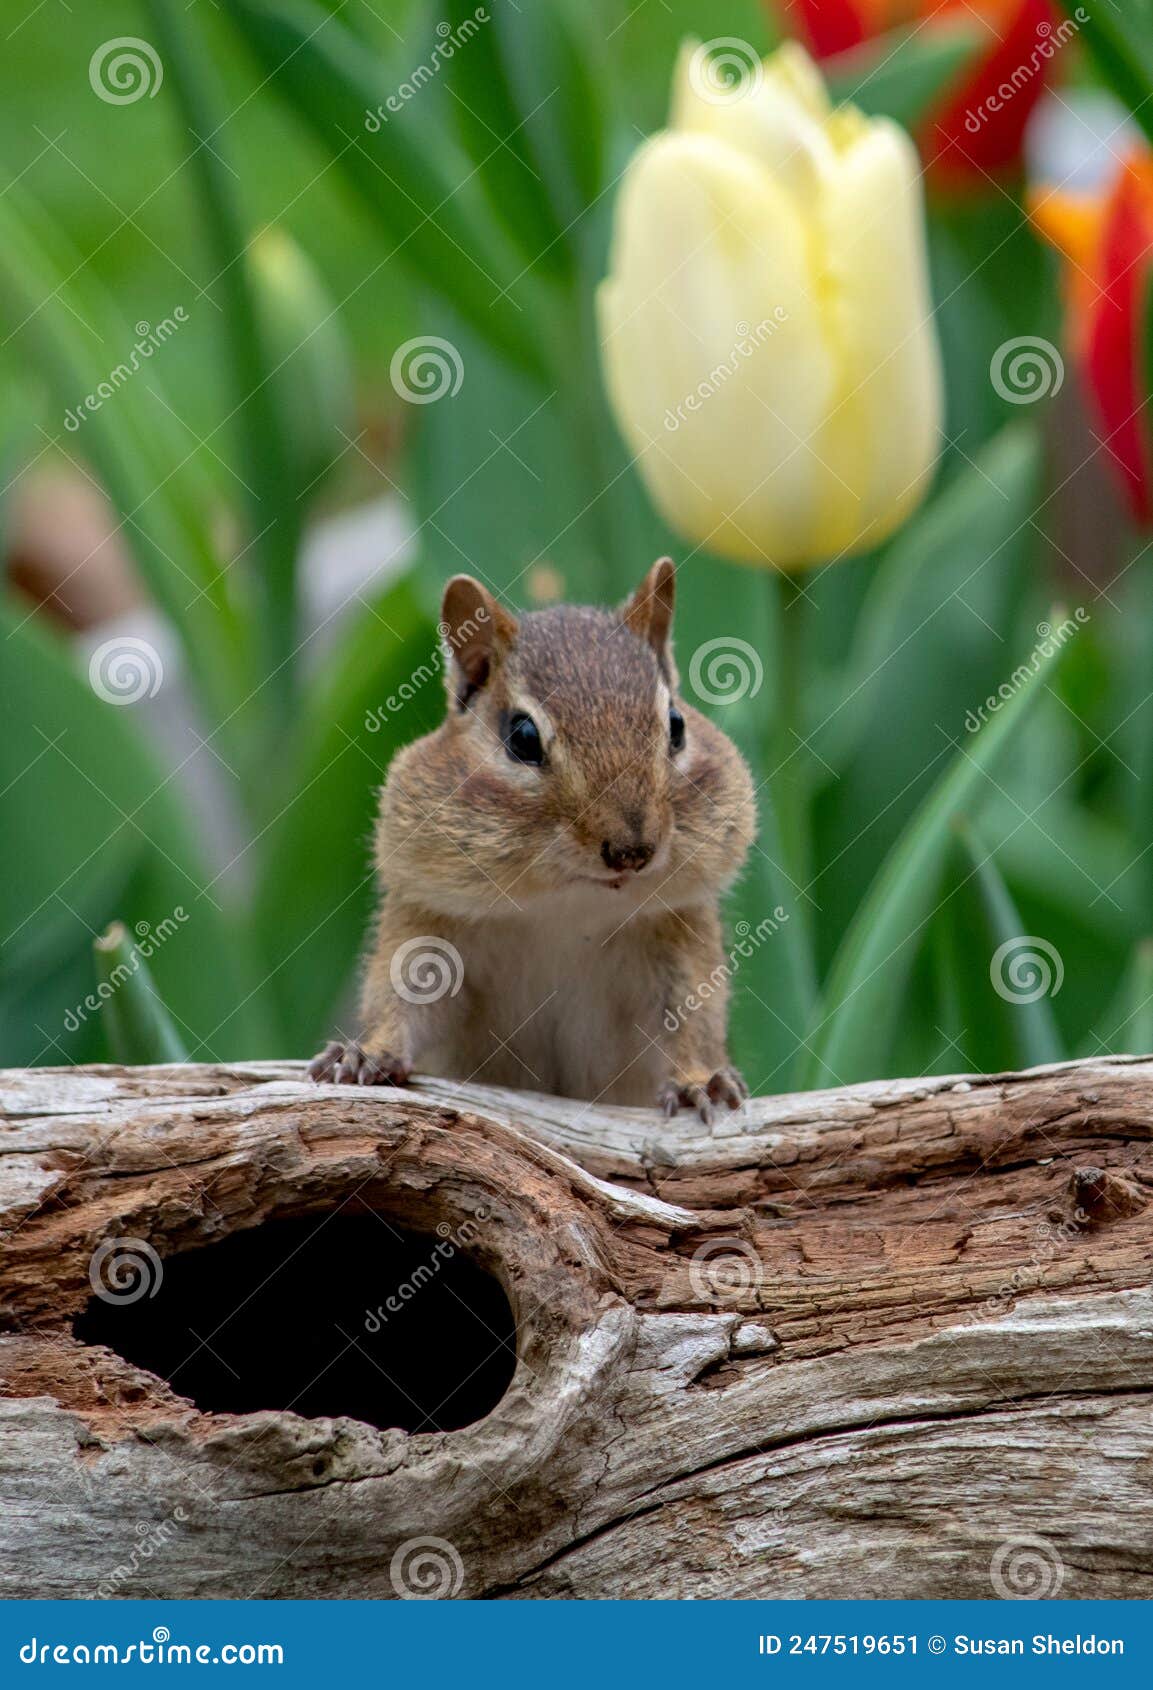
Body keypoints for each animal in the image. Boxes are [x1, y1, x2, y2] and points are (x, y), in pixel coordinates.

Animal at [309, 557, 756, 1121]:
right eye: (522, 737)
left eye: (676, 725)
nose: (631, 850)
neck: (566, 907)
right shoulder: (426, 923)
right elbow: (402, 998)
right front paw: (367, 1052)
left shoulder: (679, 936)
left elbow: (691, 1021)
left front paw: (700, 1080)